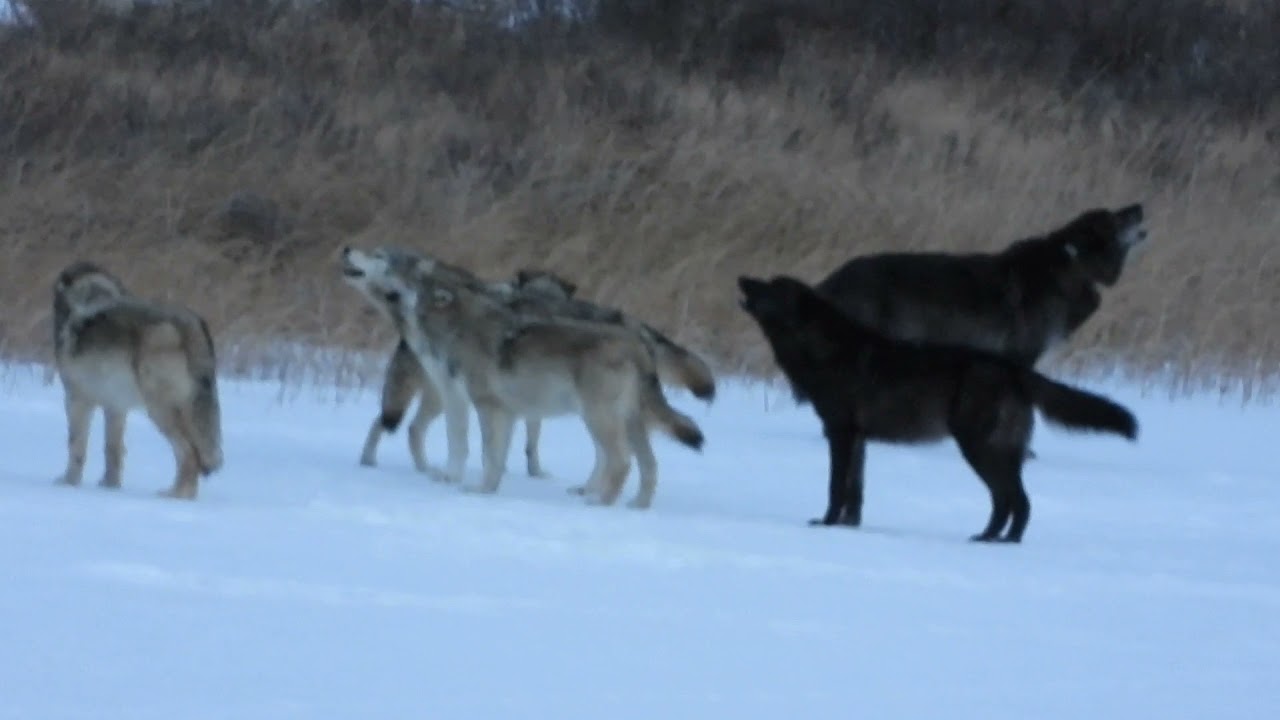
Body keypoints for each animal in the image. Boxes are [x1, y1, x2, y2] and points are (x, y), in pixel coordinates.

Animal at [52, 261, 224, 500]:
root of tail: (192, 324)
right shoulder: (115, 406)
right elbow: (112, 450)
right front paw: (110, 486)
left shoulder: (76, 399)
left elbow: (76, 445)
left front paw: (69, 483)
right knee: (194, 455)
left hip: (159, 410)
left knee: (189, 453)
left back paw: (175, 495)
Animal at [341, 247, 705, 508]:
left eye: (383, 260)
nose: (346, 249)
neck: (455, 327)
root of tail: (639, 343)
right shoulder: (490, 408)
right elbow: (485, 453)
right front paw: (482, 488)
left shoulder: (486, 406)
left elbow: (486, 454)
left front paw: (478, 490)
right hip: (627, 422)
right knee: (649, 466)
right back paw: (635, 506)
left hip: (599, 419)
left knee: (621, 462)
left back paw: (598, 502)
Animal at [738, 274, 1138, 543]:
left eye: (770, 287)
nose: (742, 277)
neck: (824, 350)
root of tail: (1012, 369)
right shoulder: (859, 439)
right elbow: (856, 491)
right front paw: (849, 527)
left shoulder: (840, 432)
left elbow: (836, 487)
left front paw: (828, 524)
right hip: (999, 452)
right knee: (1012, 502)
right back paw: (992, 539)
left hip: (979, 448)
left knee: (1013, 500)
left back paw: (999, 542)